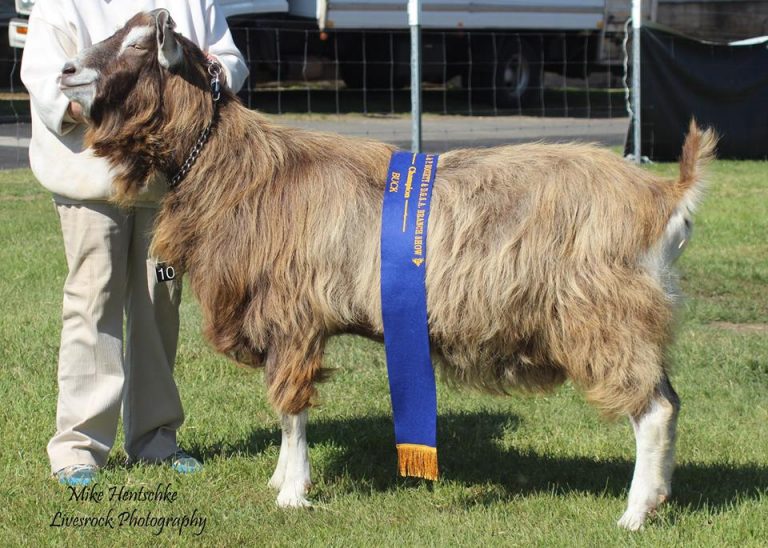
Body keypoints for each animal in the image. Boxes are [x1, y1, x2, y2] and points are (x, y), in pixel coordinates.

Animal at [58, 9, 716, 530]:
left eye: (139, 42)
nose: (65, 71)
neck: (247, 170)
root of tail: (666, 196)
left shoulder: (293, 314)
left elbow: (291, 405)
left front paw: (292, 494)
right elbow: (283, 406)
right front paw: (280, 480)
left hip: (606, 317)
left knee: (653, 410)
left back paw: (635, 513)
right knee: (670, 399)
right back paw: (659, 498)